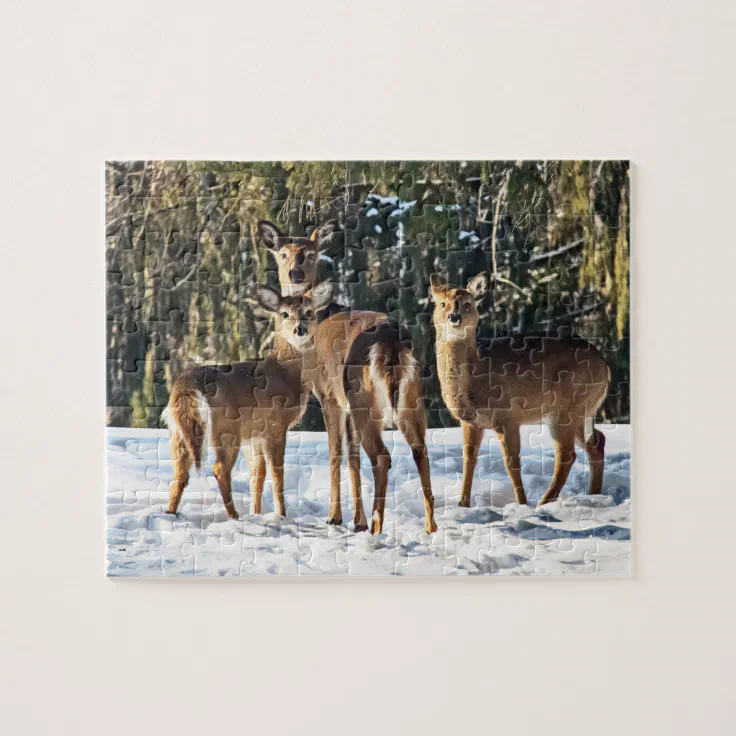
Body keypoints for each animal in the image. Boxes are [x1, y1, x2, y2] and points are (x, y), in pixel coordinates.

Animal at [162, 281, 334, 520]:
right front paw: (281, 514)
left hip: (178, 431)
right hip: (226, 429)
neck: (286, 373)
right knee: (219, 470)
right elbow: (276, 472)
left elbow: (258, 474)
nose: (300, 329)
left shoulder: (255, 433)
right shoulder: (275, 424)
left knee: (180, 473)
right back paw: (233, 515)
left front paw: (257, 513)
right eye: (284, 313)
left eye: (309, 312)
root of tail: (187, 387)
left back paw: (171, 513)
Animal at [258, 220, 438, 535]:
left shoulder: (329, 395)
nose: (295, 273)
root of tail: (391, 342)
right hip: (410, 396)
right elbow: (353, 458)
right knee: (419, 450)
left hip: (363, 396)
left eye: (311, 254)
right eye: (282, 253)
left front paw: (336, 517)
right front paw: (358, 520)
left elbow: (336, 452)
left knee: (382, 456)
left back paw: (378, 526)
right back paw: (429, 527)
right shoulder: (345, 401)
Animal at [429, 272, 610, 507]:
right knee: (596, 441)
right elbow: (469, 460)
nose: (454, 317)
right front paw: (463, 505)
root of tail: (605, 366)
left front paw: (521, 504)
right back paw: (593, 494)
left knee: (567, 454)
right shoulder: (471, 421)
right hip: (581, 410)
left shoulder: (508, 416)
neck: (476, 374)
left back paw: (544, 503)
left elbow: (511, 463)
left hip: (568, 407)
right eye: (442, 303)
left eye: (468, 303)